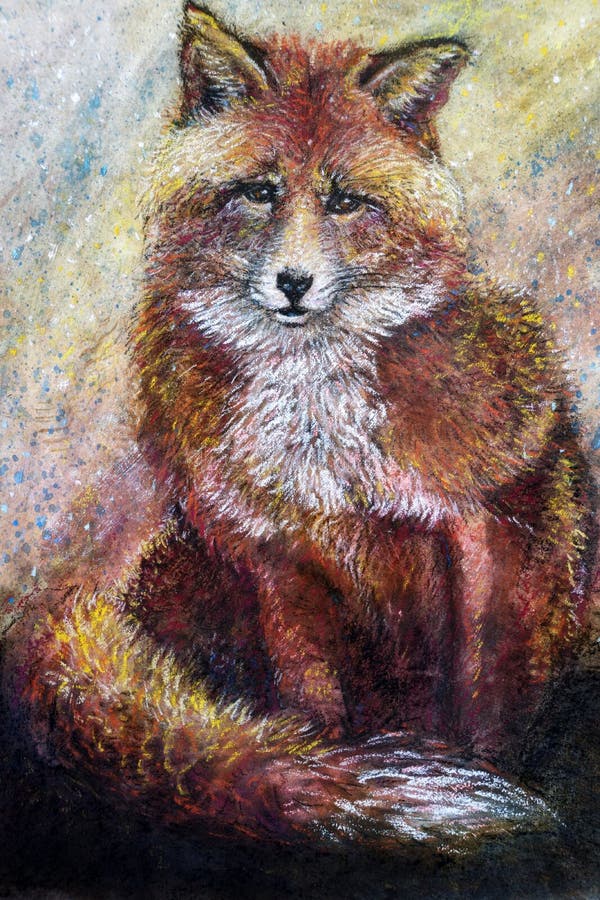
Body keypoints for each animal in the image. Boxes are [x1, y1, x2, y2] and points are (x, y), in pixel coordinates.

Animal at [2, 2, 597, 850]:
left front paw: (486, 767)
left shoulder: (487, 519)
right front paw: (321, 769)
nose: (292, 282)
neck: (315, 415)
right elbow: (311, 701)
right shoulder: (277, 552)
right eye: (258, 192)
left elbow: (484, 684)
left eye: (346, 202)